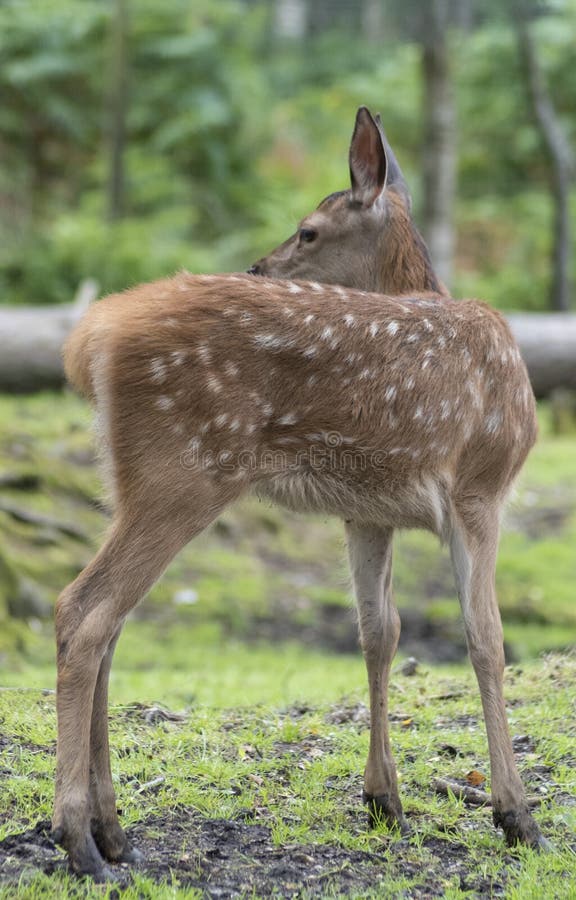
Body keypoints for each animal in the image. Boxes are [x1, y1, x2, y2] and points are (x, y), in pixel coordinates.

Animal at [52, 106, 548, 880]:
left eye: (309, 231)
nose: (258, 267)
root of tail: (88, 340)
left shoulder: (368, 512)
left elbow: (381, 631)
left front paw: (383, 801)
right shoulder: (480, 486)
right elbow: (486, 639)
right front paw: (516, 816)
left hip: (128, 479)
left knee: (109, 622)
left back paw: (114, 833)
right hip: (184, 469)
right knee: (85, 611)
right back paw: (78, 840)